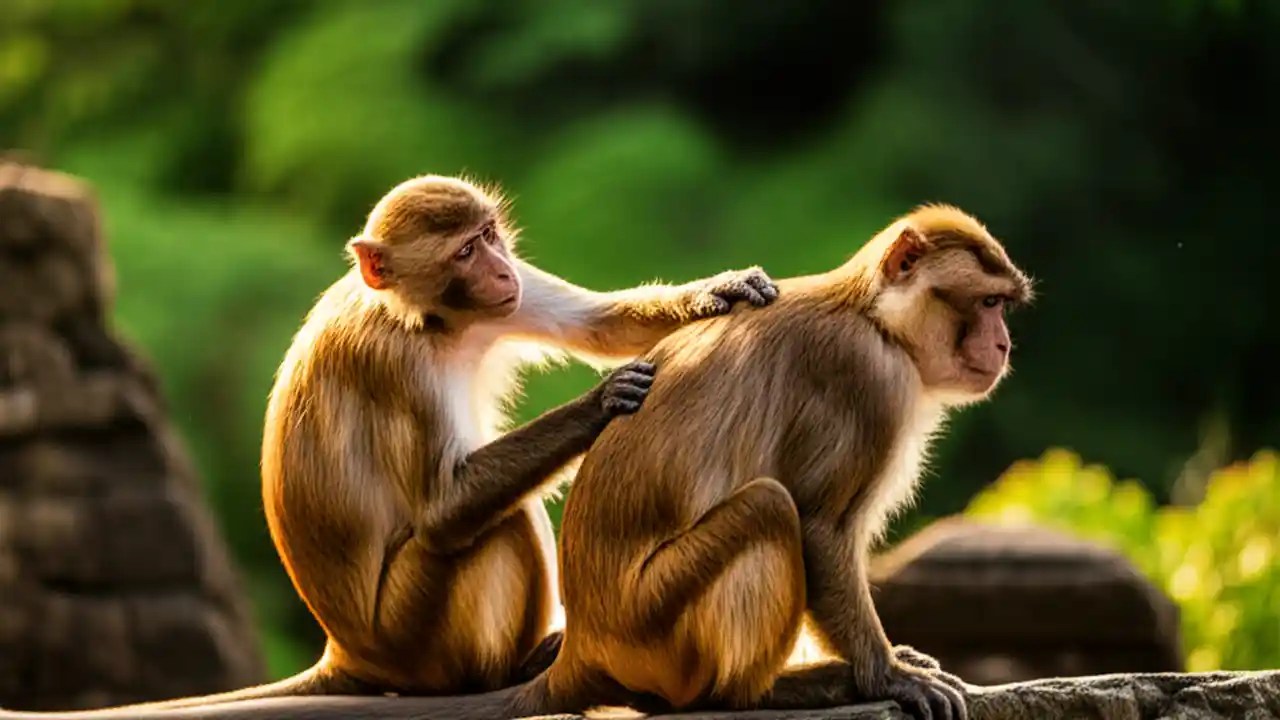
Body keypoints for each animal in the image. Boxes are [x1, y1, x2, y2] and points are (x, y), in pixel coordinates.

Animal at [3, 174, 779, 719]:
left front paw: (726, 289)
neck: (431, 320)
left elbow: (602, 323)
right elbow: (441, 510)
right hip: (415, 630)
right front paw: (603, 401)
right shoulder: (395, 366)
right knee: (486, 529)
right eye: (463, 251)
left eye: (489, 236)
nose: (503, 272)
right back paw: (500, 673)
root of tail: (348, 649)